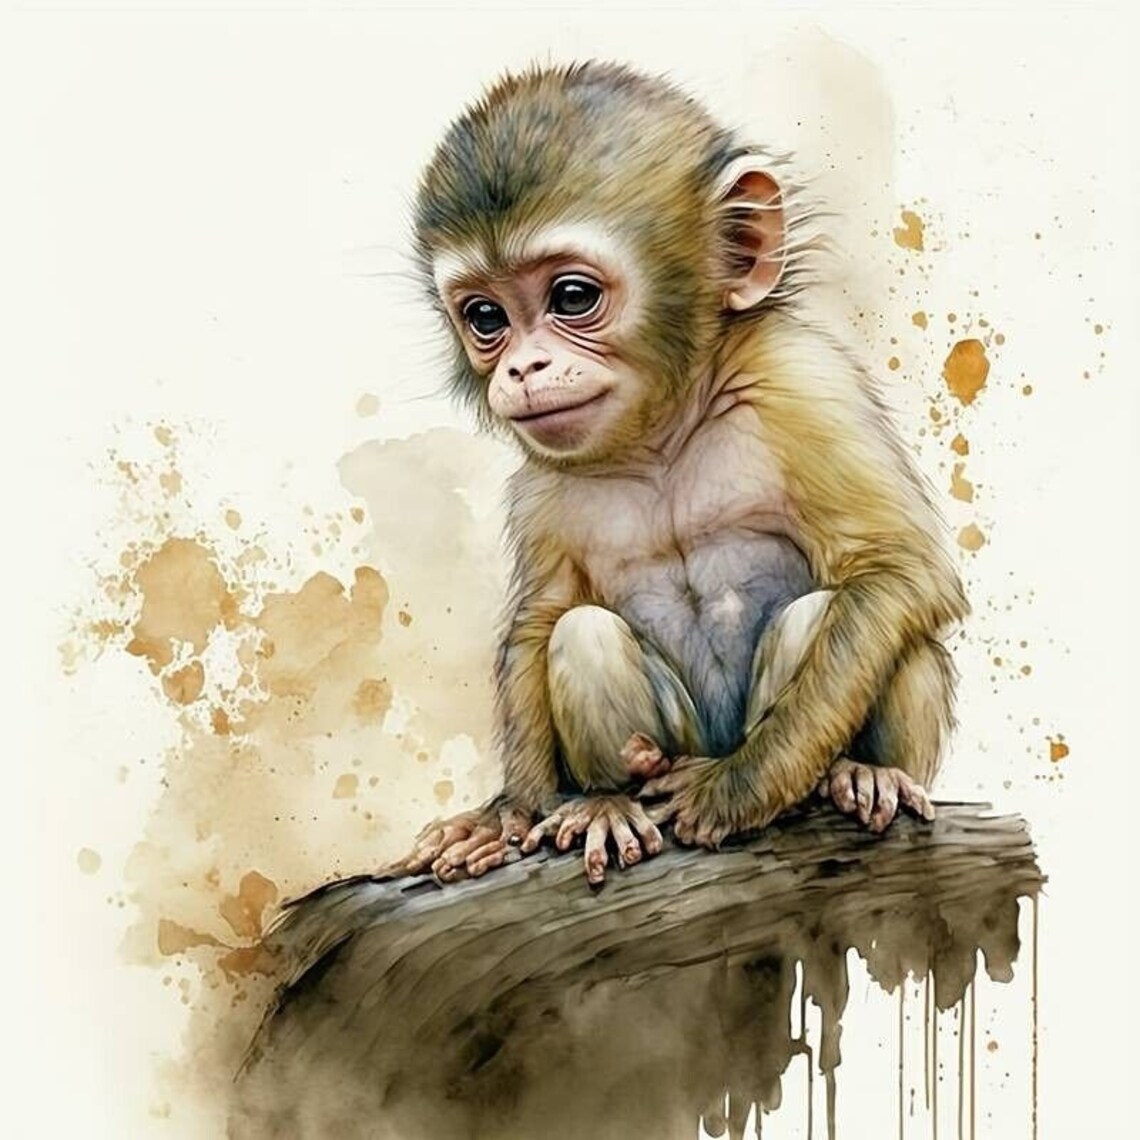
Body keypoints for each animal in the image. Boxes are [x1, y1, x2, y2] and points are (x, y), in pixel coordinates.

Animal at [387, 62, 967, 887]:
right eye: (486, 318)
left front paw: (738, 790)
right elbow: (541, 620)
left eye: (572, 297)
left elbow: (903, 572)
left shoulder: (805, 383)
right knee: (584, 632)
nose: (524, 369)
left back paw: (856, 774)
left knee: (835, 615)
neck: (664, 433)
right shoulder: (539, 483)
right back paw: (604, 802)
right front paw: (511, 813)